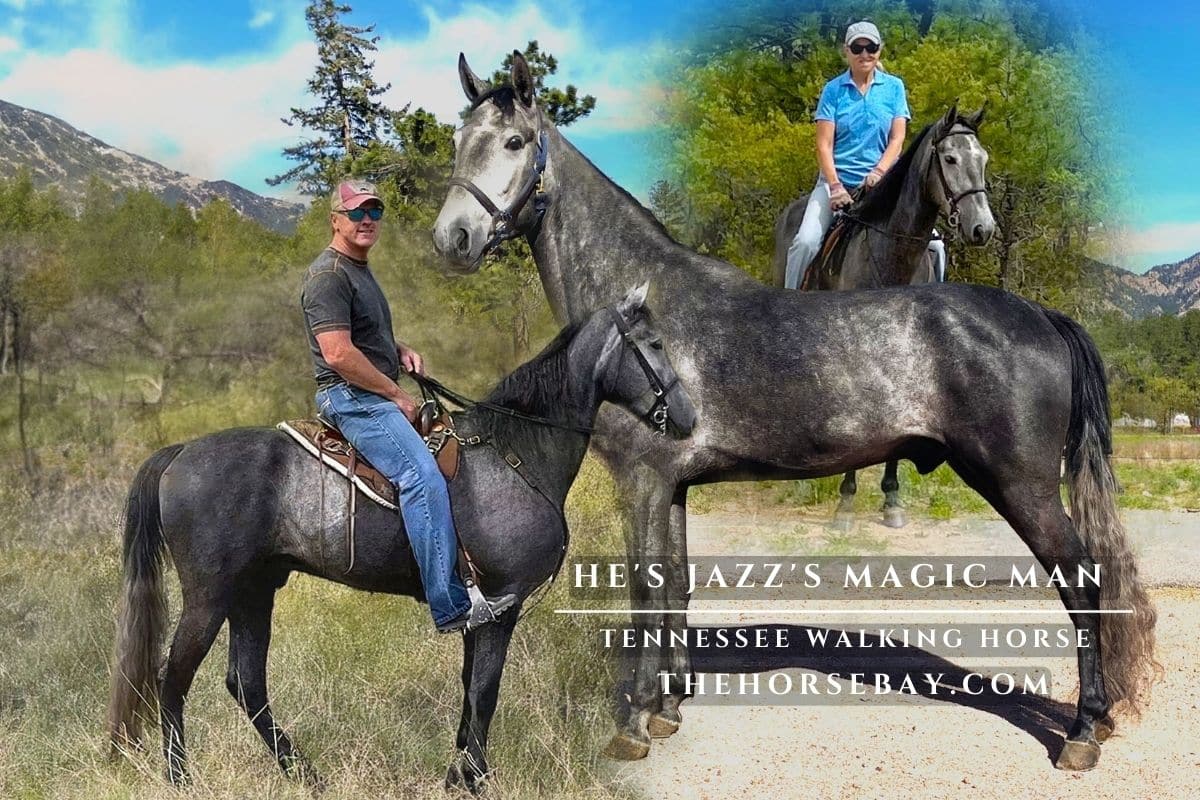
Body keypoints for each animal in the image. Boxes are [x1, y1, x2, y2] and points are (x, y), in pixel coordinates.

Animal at [106, 286, 697, 793]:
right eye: (654, 344)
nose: (689, 419)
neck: (517, 451)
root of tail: (180, 453)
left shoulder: (478, 612)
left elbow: (469, 690)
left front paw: (460, 774)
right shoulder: (500, 606)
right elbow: (485, 692)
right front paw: (475, 780)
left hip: (255, 591)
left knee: (246, 682)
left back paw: (305, 775)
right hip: (209, 595)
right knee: (172, 679)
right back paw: (182, 778)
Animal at [771, 105, 995, 528]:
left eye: (984, 159)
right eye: (950, 158)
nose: (983, 229)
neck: (892, 258)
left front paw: (892, 500)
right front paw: (845, 503)